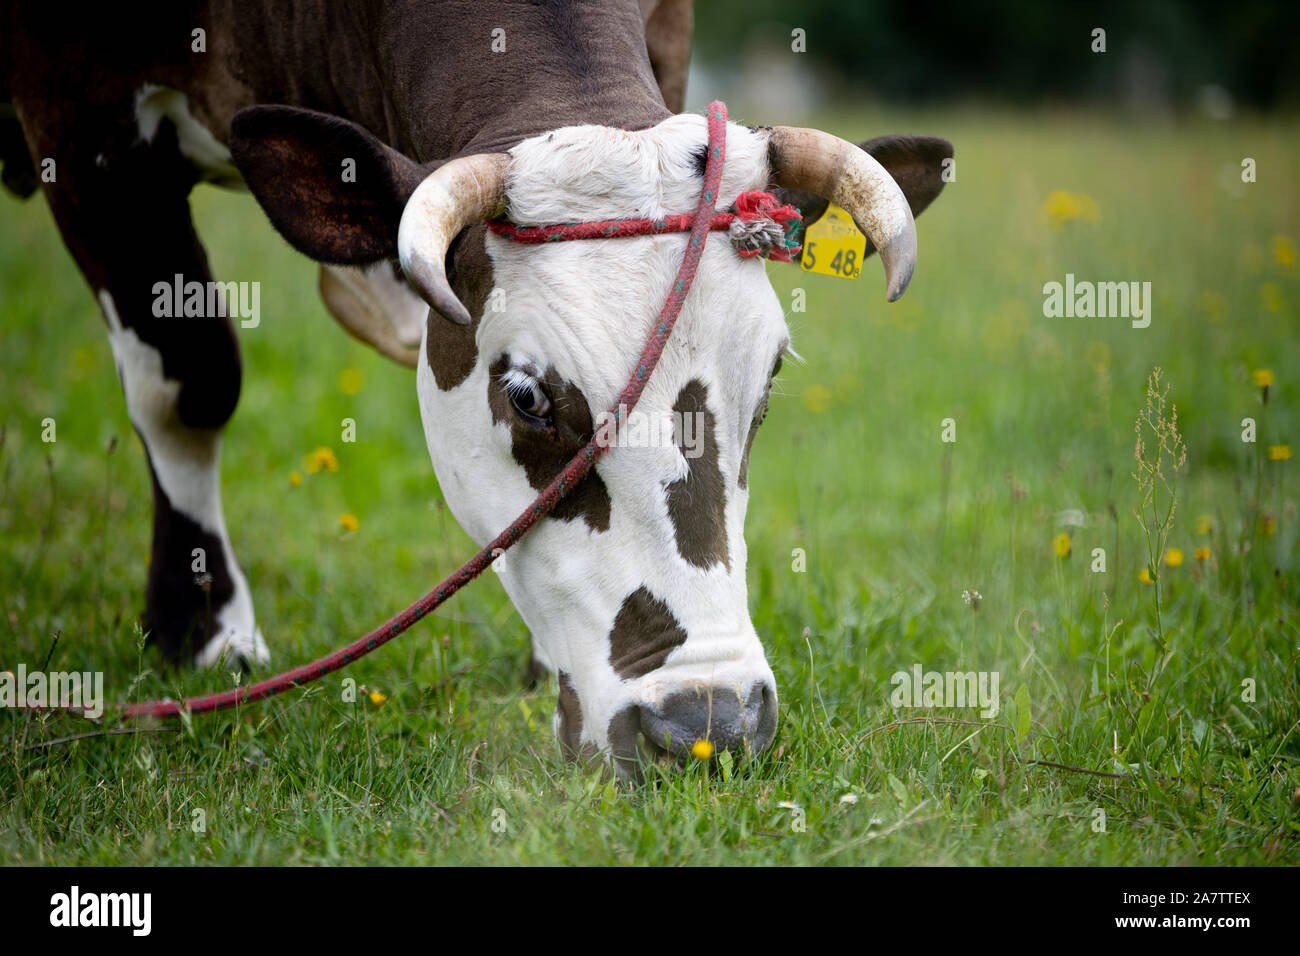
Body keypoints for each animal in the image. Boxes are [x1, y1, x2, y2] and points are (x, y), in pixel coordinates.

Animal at [2, 0, 951, 772]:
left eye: (768, 383)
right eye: (528, 396)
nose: (709, 726)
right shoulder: (82, 118)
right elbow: (188, 379)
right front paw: (205, 629)